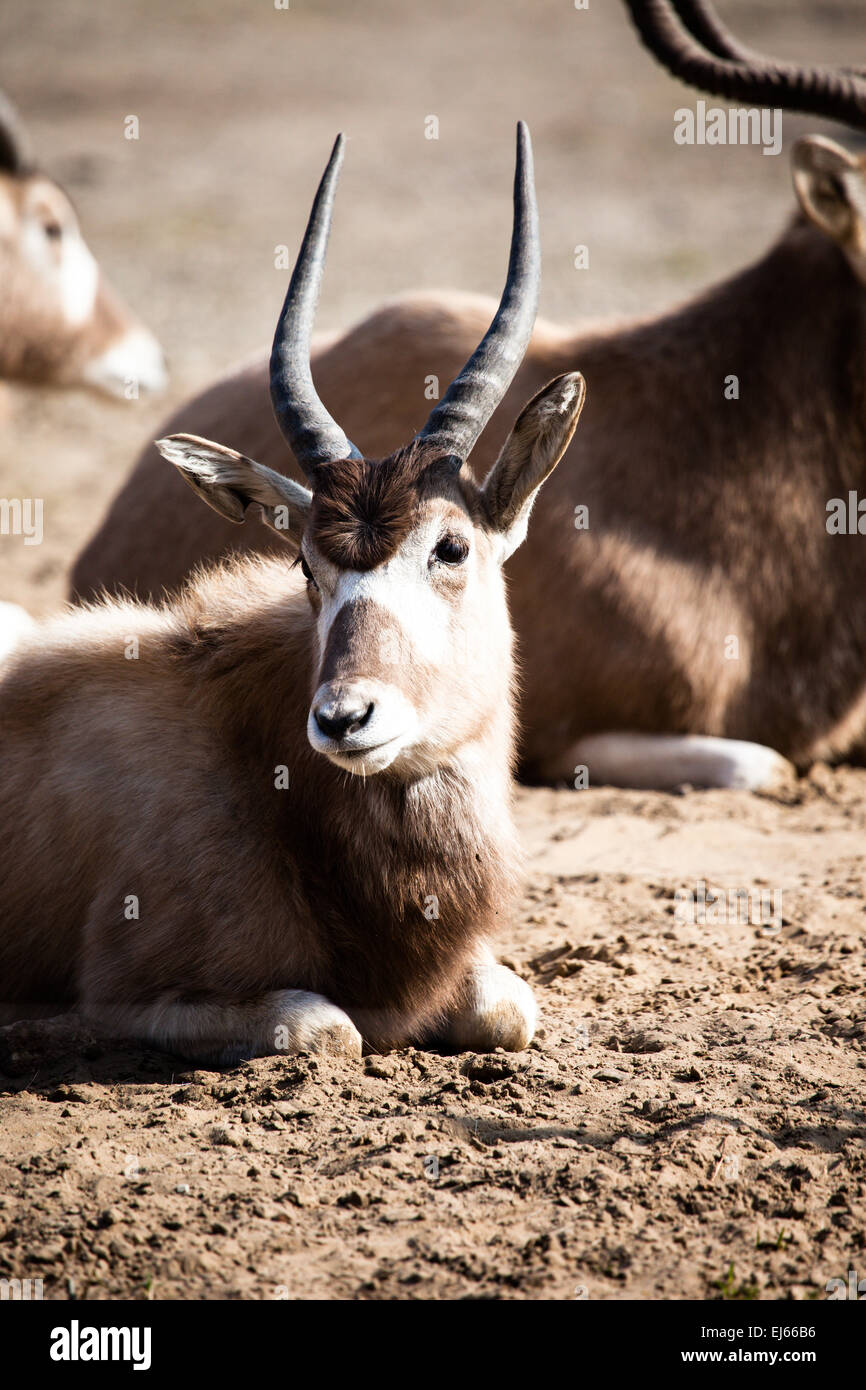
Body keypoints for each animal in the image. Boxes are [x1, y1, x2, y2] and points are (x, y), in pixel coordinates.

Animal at [0, 126, 584, 1062]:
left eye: (450, 546)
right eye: (307, 566)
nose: (346, 719)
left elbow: (507, 1008)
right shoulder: (125, 996)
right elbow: (326, 1025)